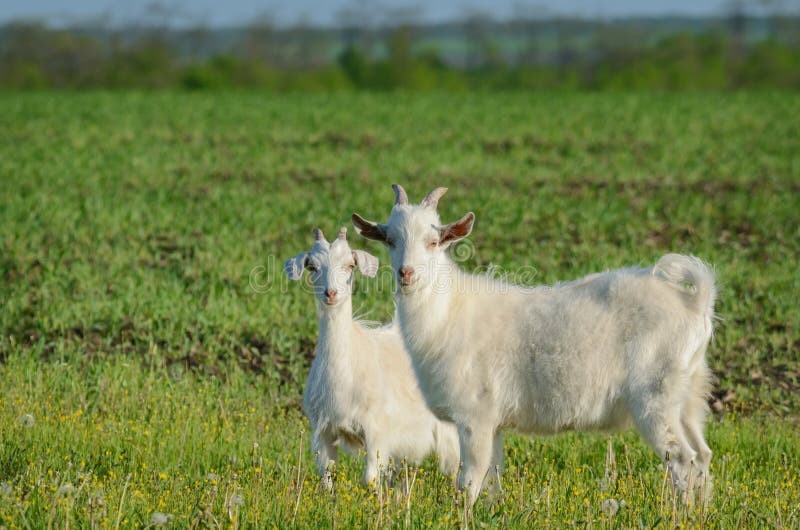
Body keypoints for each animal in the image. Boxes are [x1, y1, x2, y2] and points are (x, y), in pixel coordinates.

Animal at [284, 226, 460, 490]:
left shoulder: (377, 430)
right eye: (312, 267)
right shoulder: (324, 431)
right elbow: (326, 478)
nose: (331, 293)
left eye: (350, 265)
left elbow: (370, 479)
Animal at [352, 185, 716, 506]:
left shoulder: (474, 415)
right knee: (702, 454)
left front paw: (461, 515)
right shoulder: (493, 421)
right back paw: (700, 512)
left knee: (682, 458)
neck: (449, 312)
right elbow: (492, 478)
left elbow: (469, 479)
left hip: (656, 395)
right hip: (688, 395)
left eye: (433, 241)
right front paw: (492, 513)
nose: (406, 273)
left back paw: (680, 513)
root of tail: (694, 302)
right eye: (390, 240)